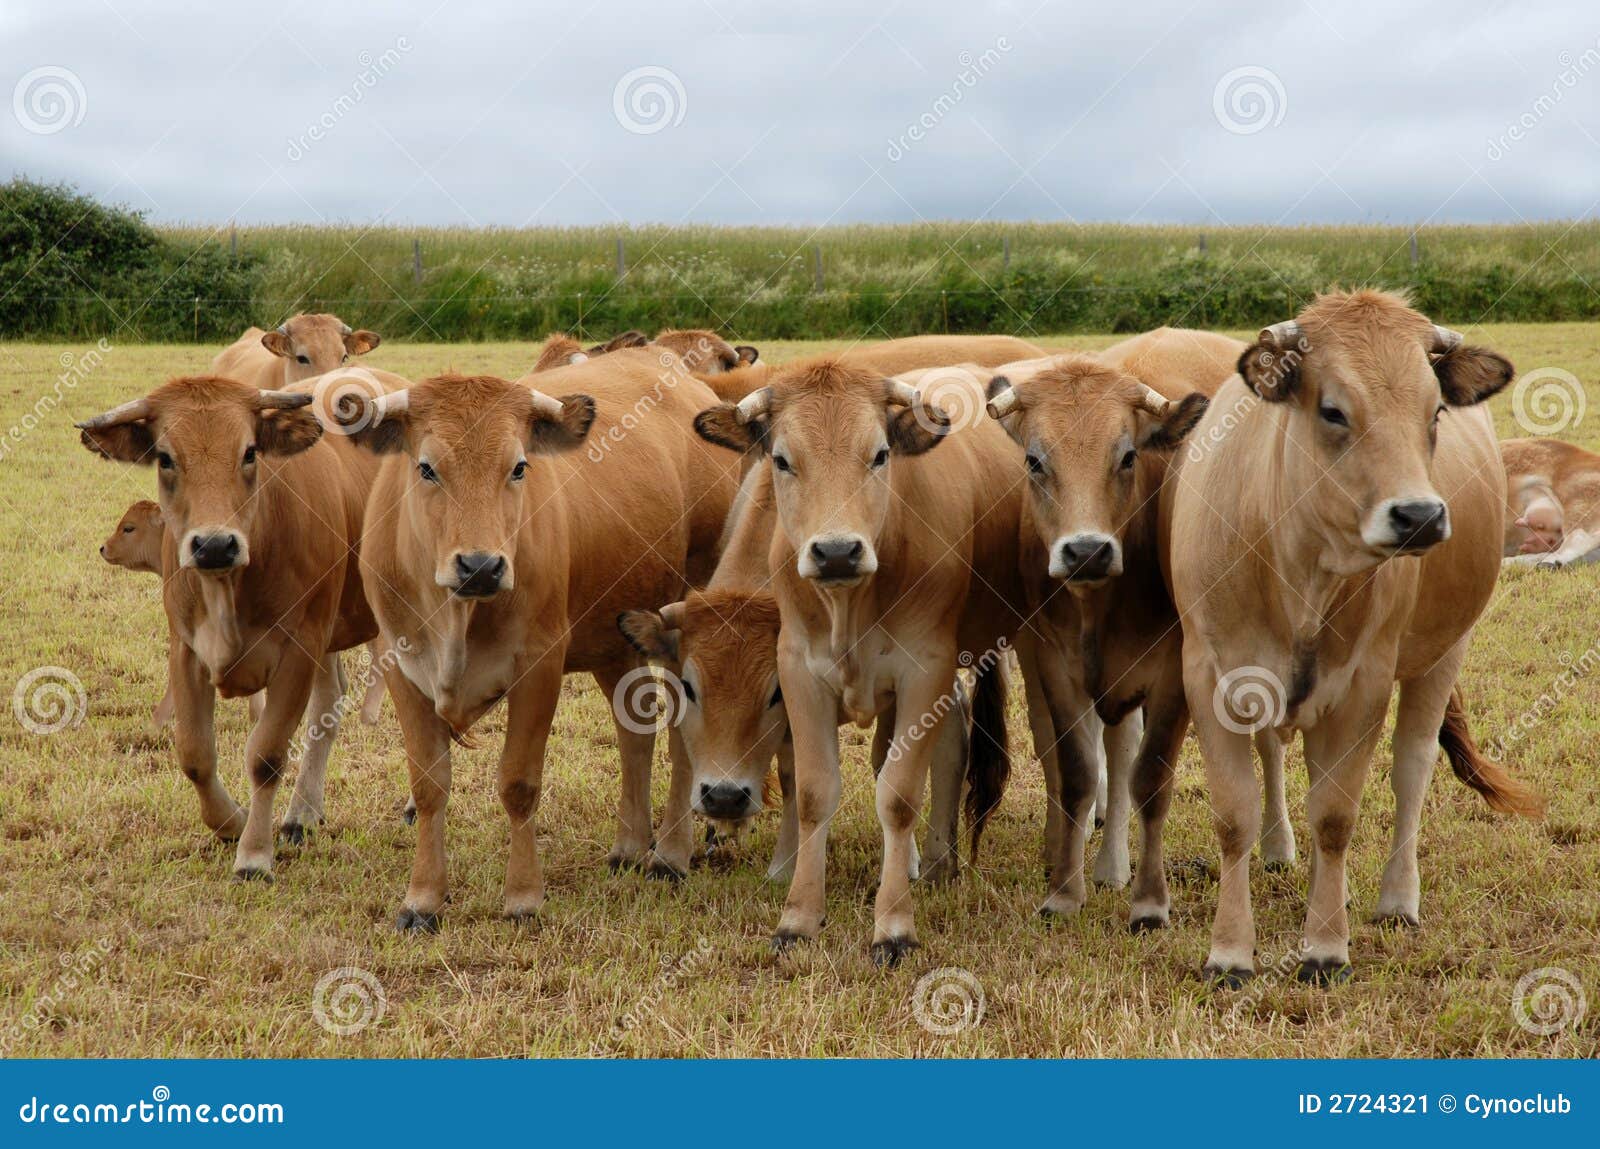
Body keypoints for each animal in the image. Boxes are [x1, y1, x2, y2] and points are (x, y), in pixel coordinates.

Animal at [76, 372, 389, 879]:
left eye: (249, 452)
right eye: (166, 458)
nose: (215, 545)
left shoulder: (297, 651)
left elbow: (266, 756)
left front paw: (254, 855)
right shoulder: (186, 651)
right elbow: (194, 755)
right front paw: (231, 822)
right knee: (329, 702)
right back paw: (302, 813)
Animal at [348, 349, 741, 930]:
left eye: (518, 467)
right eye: (426, 467)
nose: (480, 565)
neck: (457, 614)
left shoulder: (539, 667)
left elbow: (518, 783)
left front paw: (523, 897)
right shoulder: (403, 670)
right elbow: (429, 785)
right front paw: (422, 899)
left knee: (679, 735)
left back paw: (670, 854)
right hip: (612, 641)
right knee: (637, 732)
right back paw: (630, 845)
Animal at [693, 358, 1029, 965]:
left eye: (879, 454)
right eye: (782, 458)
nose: (836, 553)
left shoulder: (924, 671)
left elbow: (896, 796)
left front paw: (893, 927)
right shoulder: (800, 673)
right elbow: (814, 792)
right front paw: (798, 918)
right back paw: (938, 861)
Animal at [984, 328, 1289, 925]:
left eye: (1127, 456)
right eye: (1034, 460)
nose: (1086, 551)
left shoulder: (1177, 677)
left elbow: (1152, 779)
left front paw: (1149, 901)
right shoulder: (1057, 668)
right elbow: (1082, 774)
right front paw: (1066, 892)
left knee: (1269, 744)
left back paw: (1278, 846)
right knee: (1118, 747)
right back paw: (1109, 865)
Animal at [1163, 290, 1543, 987]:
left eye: (1435, 410)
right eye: (1333, 410)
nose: (1420, 515)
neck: (1297, 569)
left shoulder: (1364, 685)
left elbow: (1337, 816)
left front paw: (1324, 945)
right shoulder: (1211, 676)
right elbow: (1234, 816)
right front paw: (1229, 951)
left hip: (1443, 654)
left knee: (1410, 768)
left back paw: (1394, 899)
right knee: (1281, 757)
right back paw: (1288, 856)